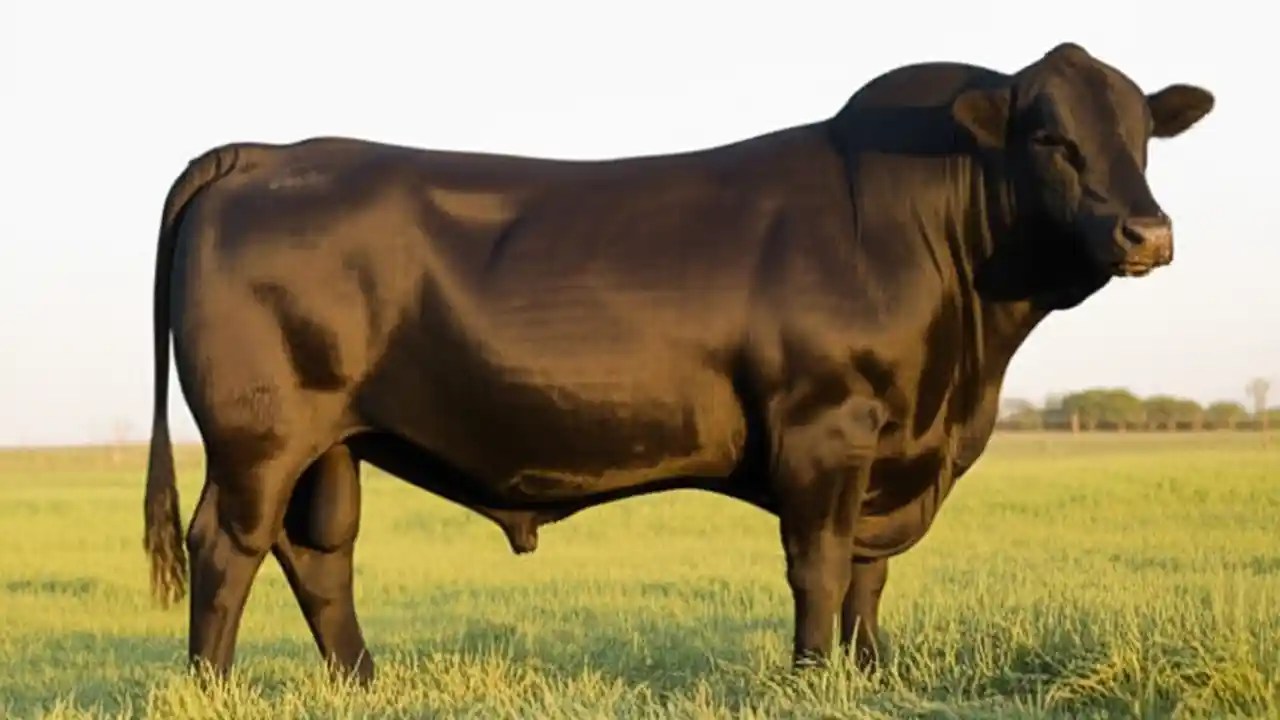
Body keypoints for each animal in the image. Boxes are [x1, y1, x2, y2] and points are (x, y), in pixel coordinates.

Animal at [142, 42, 1213, 684]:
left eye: (1143, 135)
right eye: (1051, 138)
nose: (1149, 232)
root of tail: (267, 153)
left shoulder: (895, 447)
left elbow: (869, 576)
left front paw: (868, 674)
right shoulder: (828, 426)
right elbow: (821, 563)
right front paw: (813, 678)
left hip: (331, 438)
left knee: (318, 553)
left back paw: (364, 683)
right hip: (260, 431)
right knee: (228, 546)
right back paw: (215, 687)